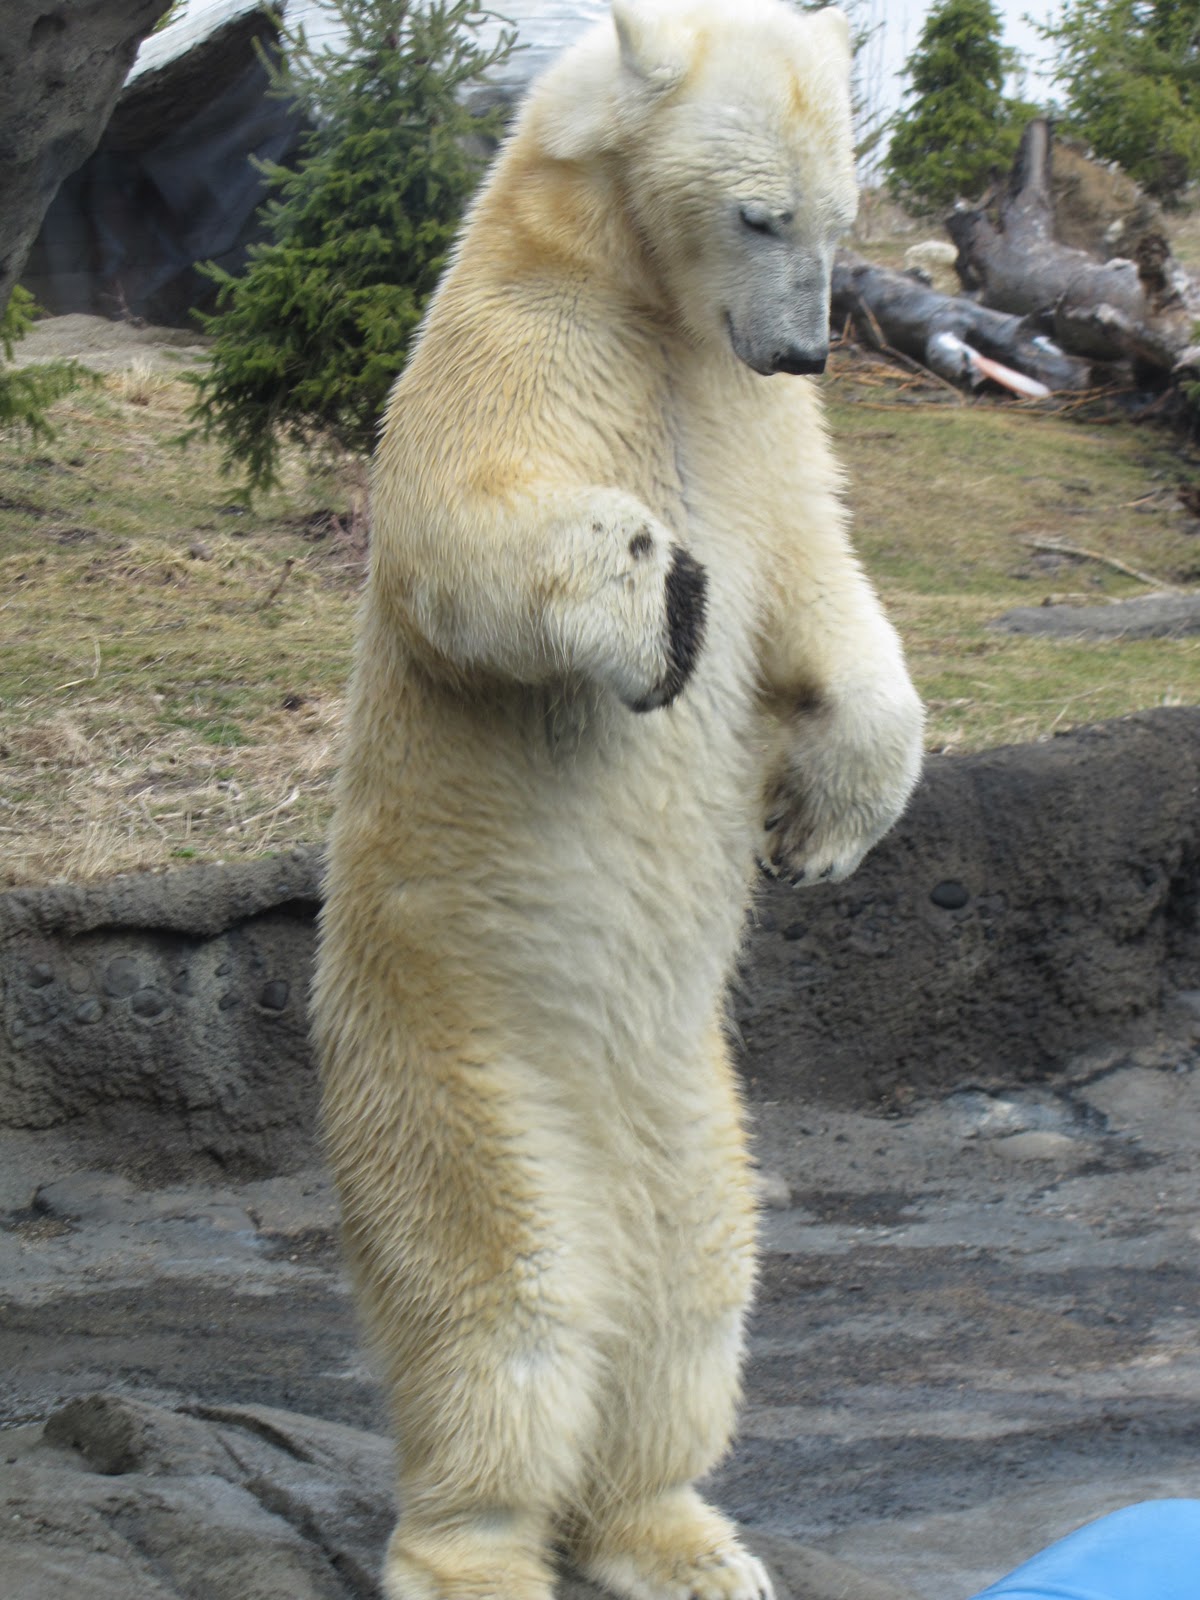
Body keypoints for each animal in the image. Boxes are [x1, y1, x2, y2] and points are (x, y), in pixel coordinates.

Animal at [310, 3, 924, 1598]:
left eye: (844, 220)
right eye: (760, 214)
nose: (804, 346)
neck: (649, 302)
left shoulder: (765, 442)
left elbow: (828, 597)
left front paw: (823, 823)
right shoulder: (513, 347)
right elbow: (466, 538)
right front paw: (664, 606)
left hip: (700, 1109)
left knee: (691, 1302)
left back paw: (682, 1538)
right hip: (461, 1058)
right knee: (503, 1307)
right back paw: (479, 1551)